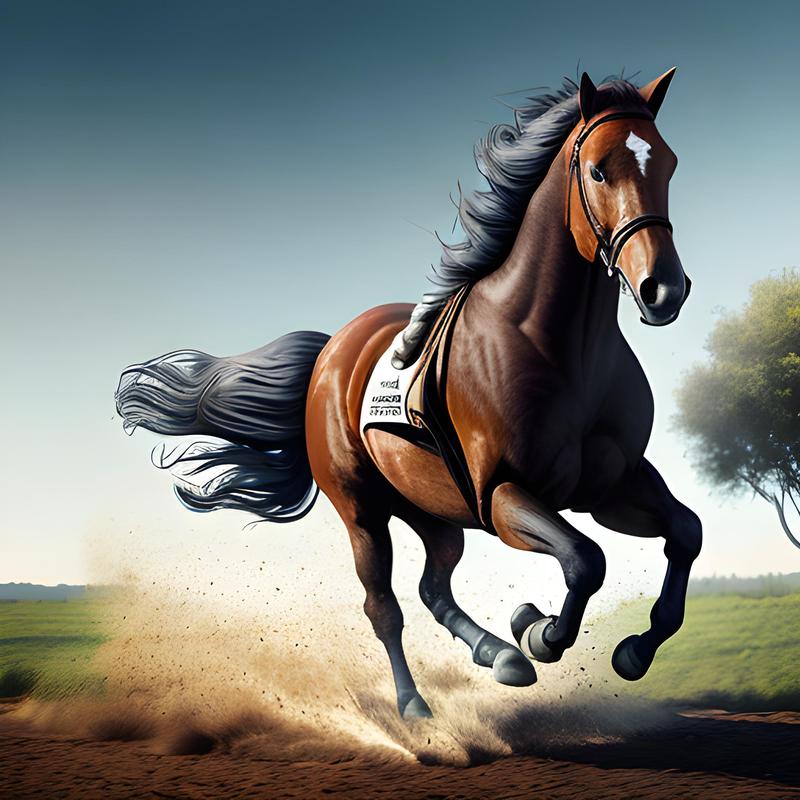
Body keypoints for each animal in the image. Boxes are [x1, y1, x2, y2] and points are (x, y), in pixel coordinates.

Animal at [116, 69, 701, 720]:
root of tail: (330, 353)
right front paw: (538, 629)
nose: (663, 290)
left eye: (669, 164)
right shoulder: (502, 495)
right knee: (385, 607)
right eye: (598, 171)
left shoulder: (612, 486)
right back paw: (418, 703)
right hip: (364, 512)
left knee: (433, 588)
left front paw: (630, 650)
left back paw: (500, 655)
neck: (561, 351)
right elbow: (585, 560)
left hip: (431, 509)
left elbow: (686, 532)